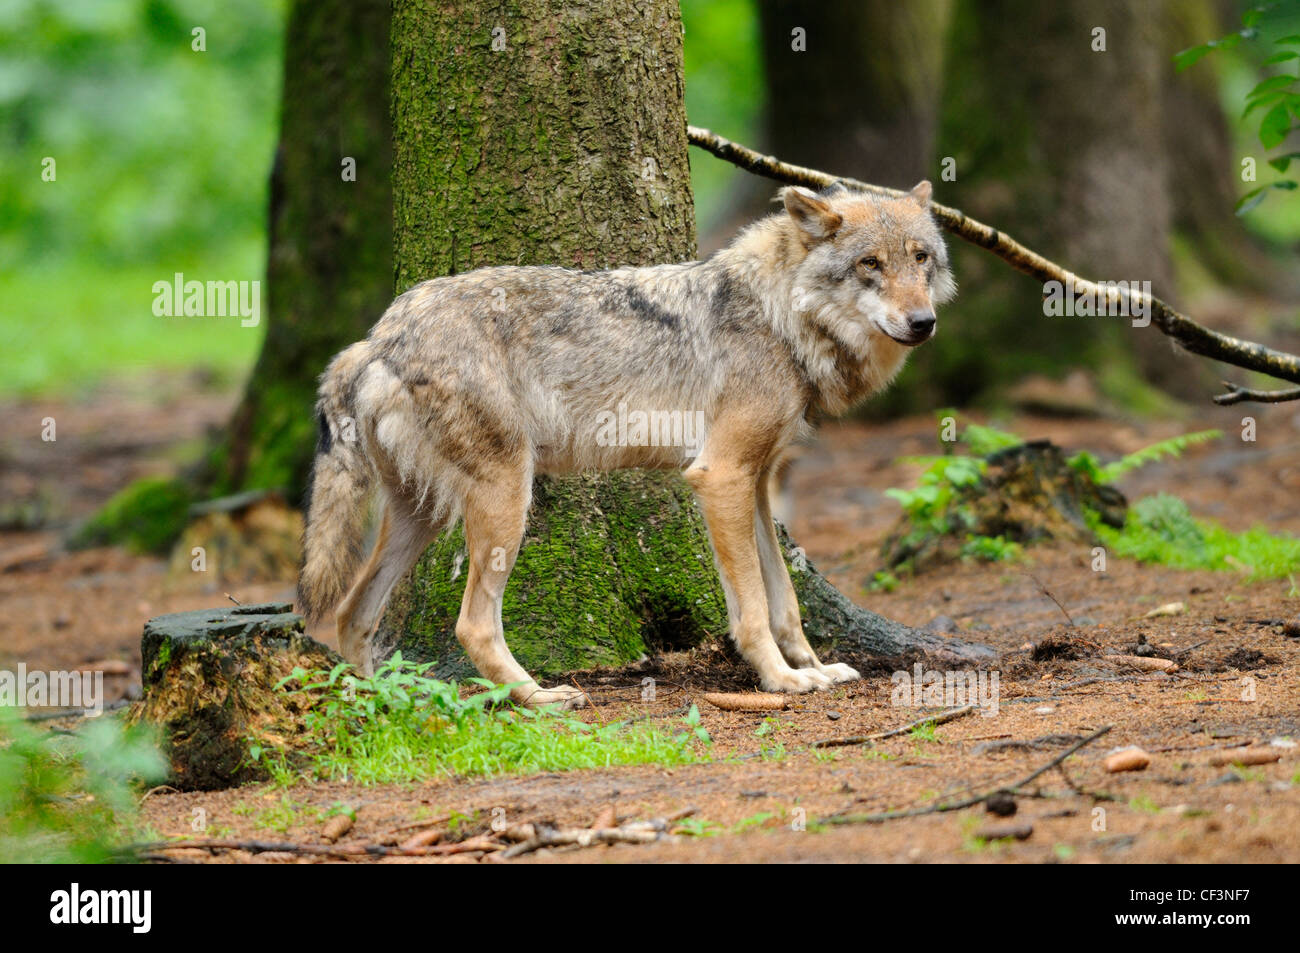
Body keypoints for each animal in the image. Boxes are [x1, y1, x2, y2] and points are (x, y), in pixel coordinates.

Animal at [299, 180, 955, 708]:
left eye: (921, 258)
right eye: (870, 263)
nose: (924, 323)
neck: (781, 316)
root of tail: (378, 337)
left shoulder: (758, 483)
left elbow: (784, 597)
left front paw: (815, 668)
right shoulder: (720, 475)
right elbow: (751, 606)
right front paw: (781, 680)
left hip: (423, 515)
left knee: (352, 613)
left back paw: (381, 707)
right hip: (506, 498)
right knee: (471, 626)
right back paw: (540, 698)